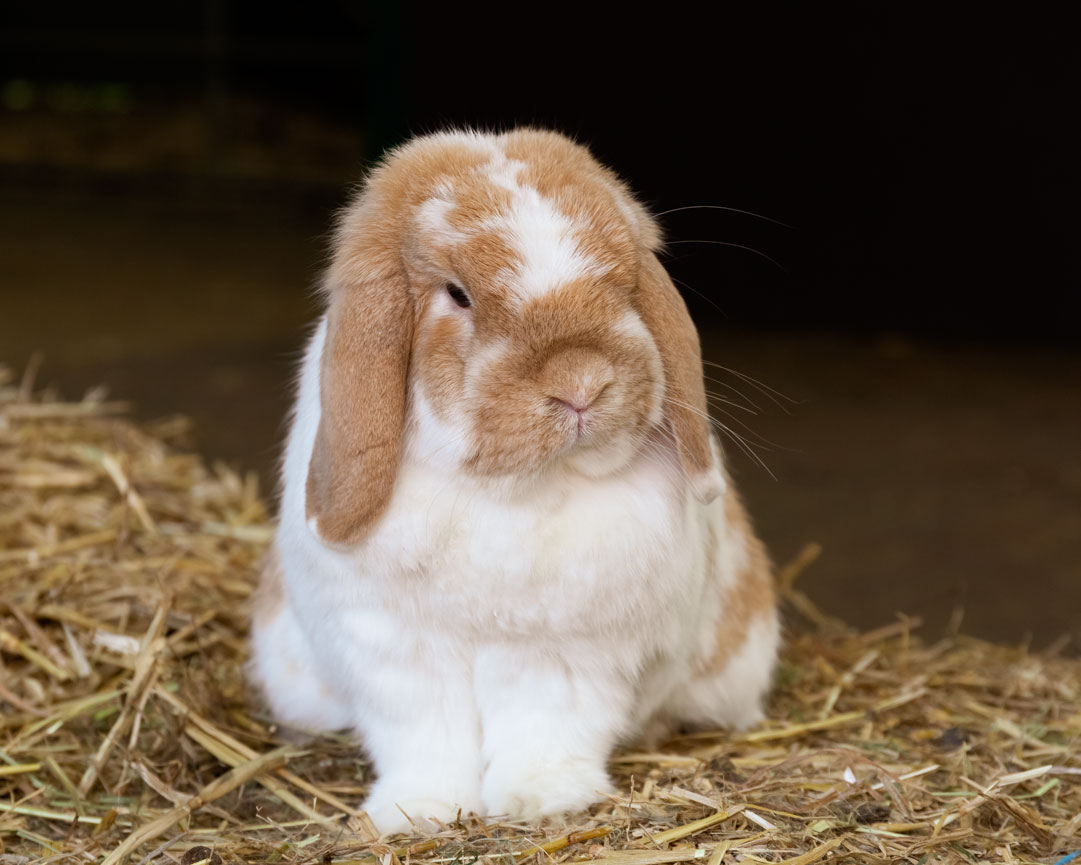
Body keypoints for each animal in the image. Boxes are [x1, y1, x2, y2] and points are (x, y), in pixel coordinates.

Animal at [248, 128, 780, 835]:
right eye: (457, 294)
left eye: (625, 283)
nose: (581, 382)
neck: (511, 493)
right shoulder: (394, 651)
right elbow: (424, 738)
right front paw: (418, 812)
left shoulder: (565, 653)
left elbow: (545, 729)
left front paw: (543, 800)